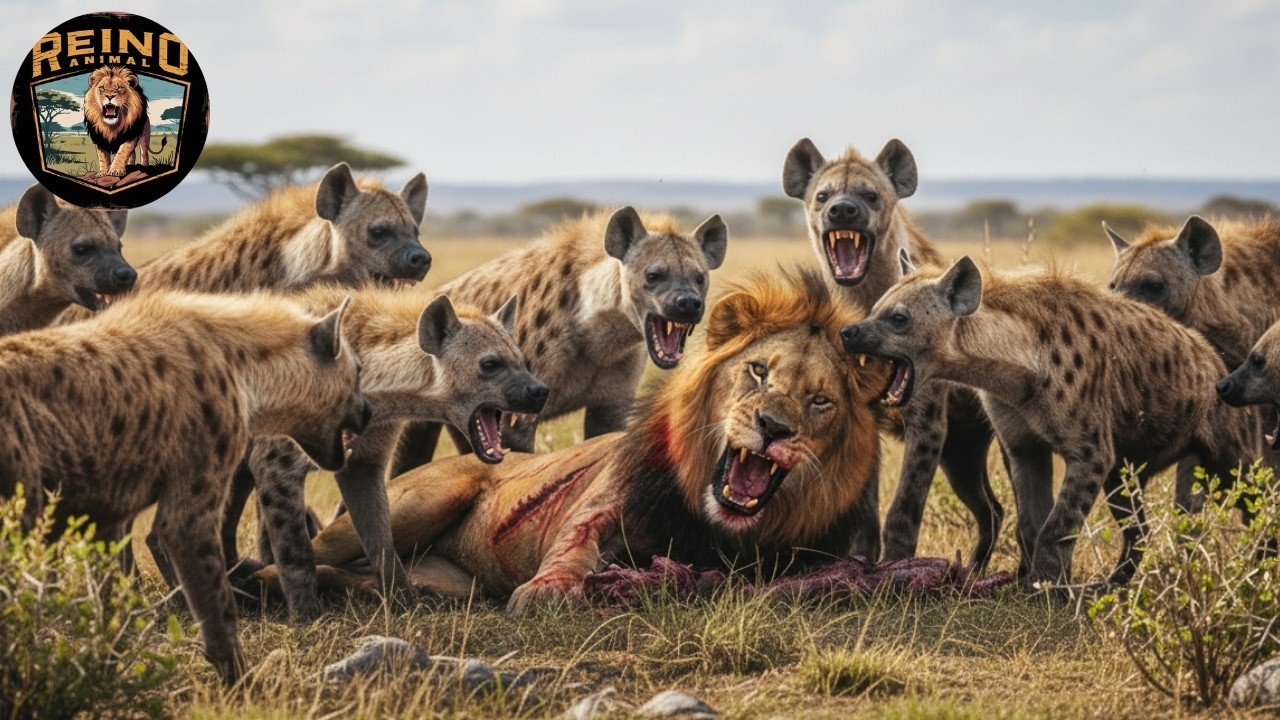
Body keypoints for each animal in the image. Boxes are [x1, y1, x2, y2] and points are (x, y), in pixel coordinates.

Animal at [256, 267, 894, 614]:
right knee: (315, 553)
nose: (773, 427)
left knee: (371, 578)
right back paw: (258, 583)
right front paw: (550, 590)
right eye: (759, 372)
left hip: (448, 585)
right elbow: (576, 541)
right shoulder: (604, 502)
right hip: (420, 502)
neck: (715, 524)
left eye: (820, 402)